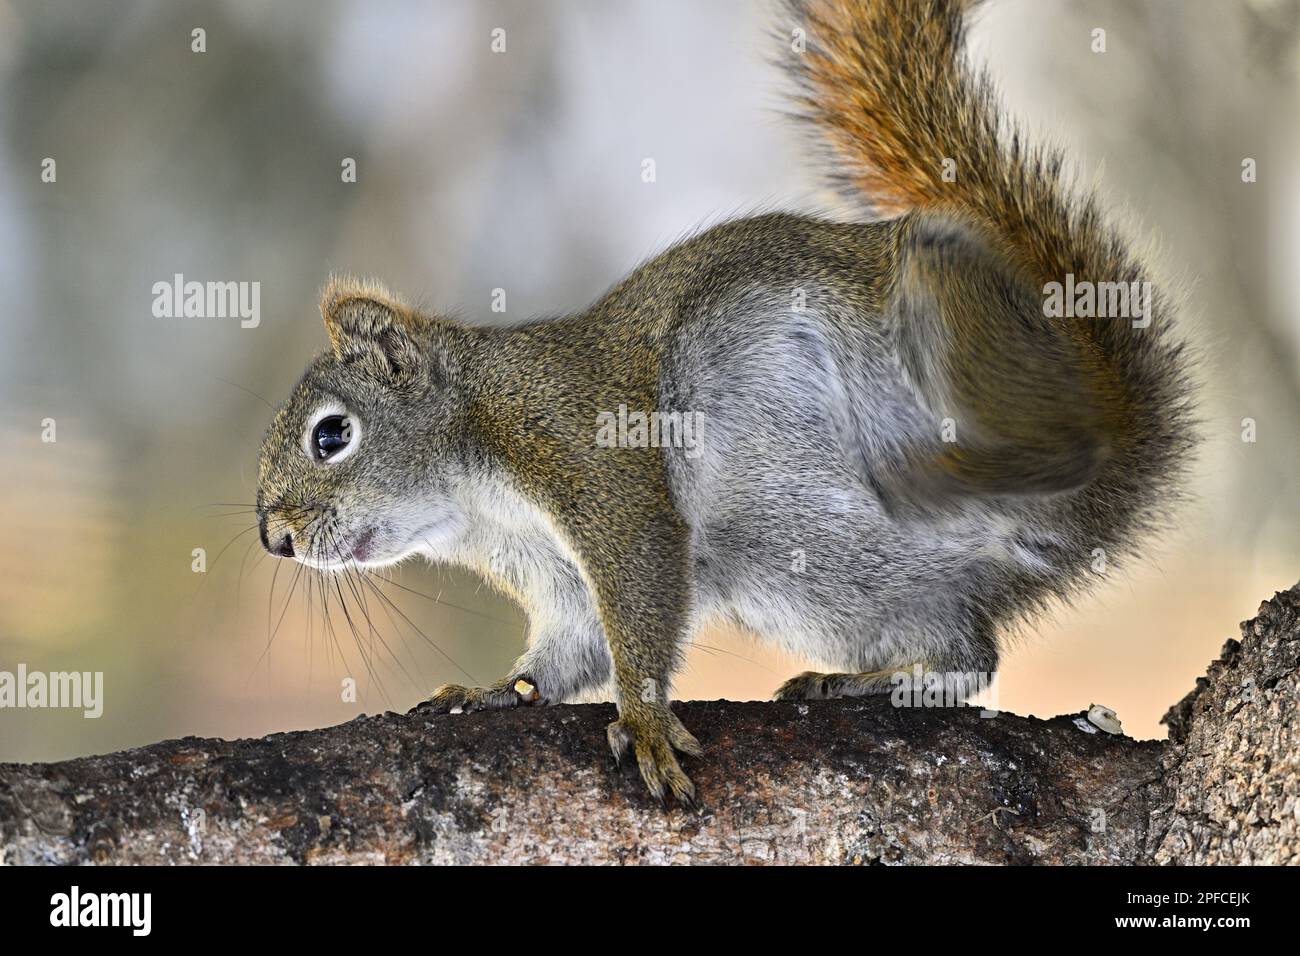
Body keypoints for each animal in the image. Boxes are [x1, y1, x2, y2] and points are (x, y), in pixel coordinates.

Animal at [255, 0, 1195, 804]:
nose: (275, 538)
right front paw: (499, 689)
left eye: (331, 436)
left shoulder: (593, 462)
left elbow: (638, 597)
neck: (475, 487)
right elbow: (568, 651)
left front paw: (644, 722)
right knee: (971, 654)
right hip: (827, 578)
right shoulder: (557, 576)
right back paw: (863, 681)